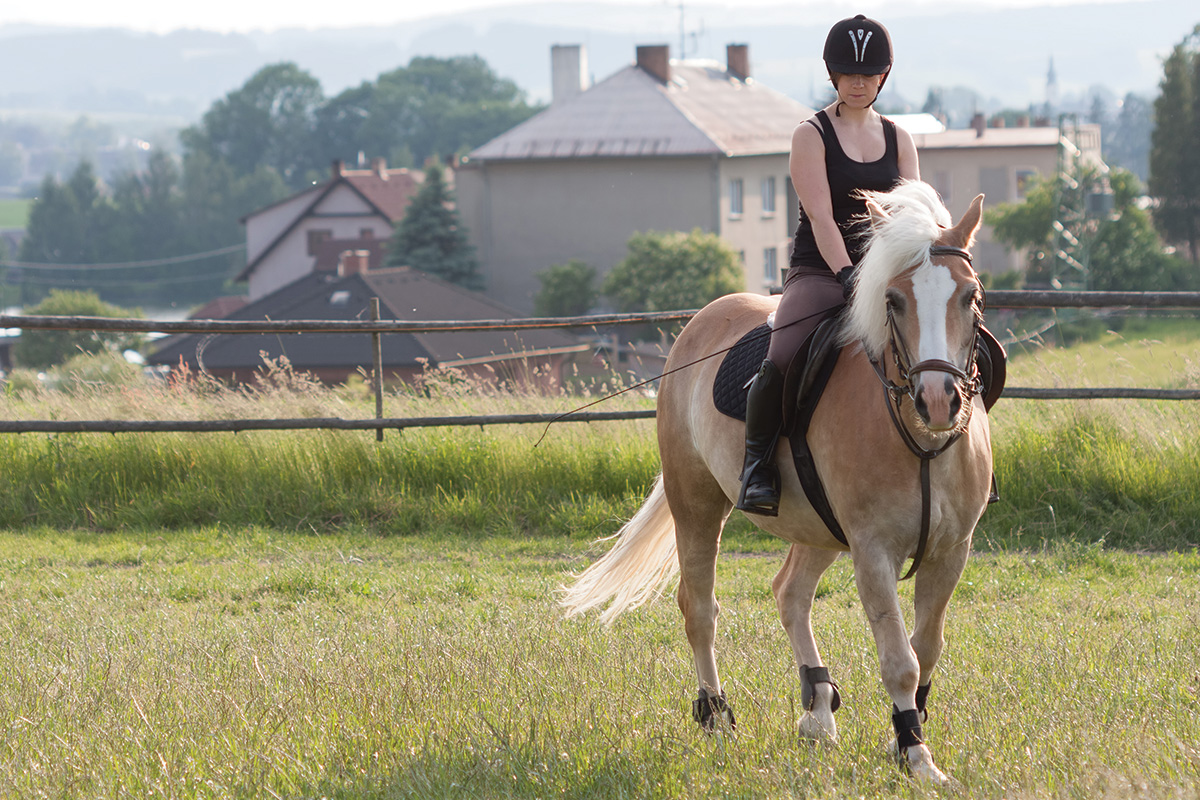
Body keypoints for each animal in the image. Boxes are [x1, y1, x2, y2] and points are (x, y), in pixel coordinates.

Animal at [561, 181, 993, 784]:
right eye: (894, 300)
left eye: (970, 296)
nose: (937, 400)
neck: (916, 438)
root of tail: (700, 322)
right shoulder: (872, 552)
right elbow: (899, 660)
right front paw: (917, 755)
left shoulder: (951, 551)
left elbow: (926, 648)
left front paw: (901, 739)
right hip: (696, 503)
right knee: (699, 608)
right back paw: (716, 716)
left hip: (818, 527)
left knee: (789, 592)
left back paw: (818, 710)